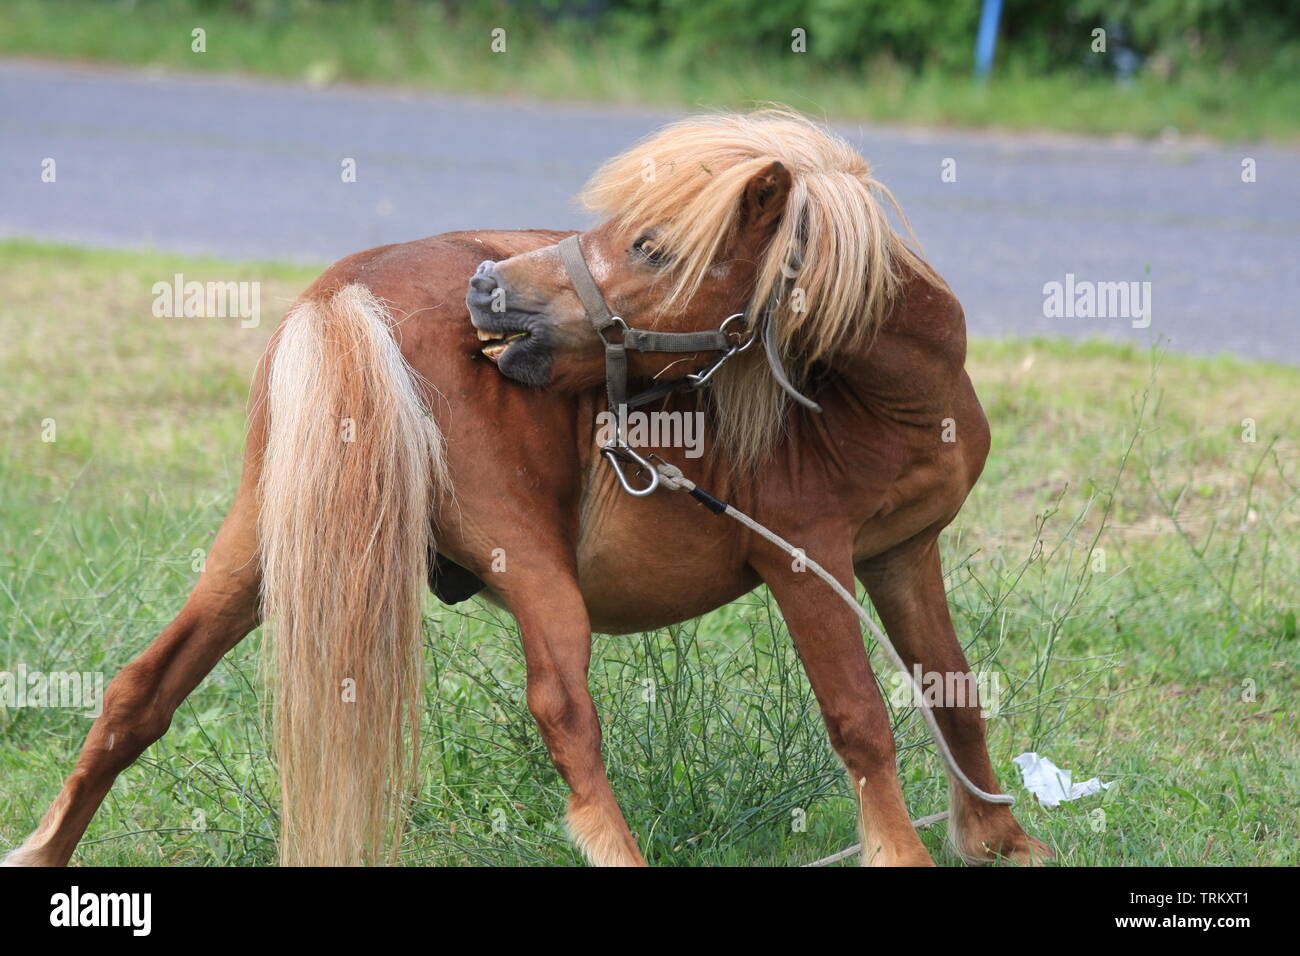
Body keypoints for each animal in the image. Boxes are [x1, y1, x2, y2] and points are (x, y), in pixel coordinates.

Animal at [5, 108, 1050, 867]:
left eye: (655, 246)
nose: (488, 293)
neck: (885, 395)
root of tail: (349, 292)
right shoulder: (805, 564)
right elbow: (863, 720)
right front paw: (909, 854)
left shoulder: (900, 554)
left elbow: (952, 691)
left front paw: (1002, 840)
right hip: (535, 572)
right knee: (565, 713)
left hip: (258, 556)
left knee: (139, 691)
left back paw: (44, 851)